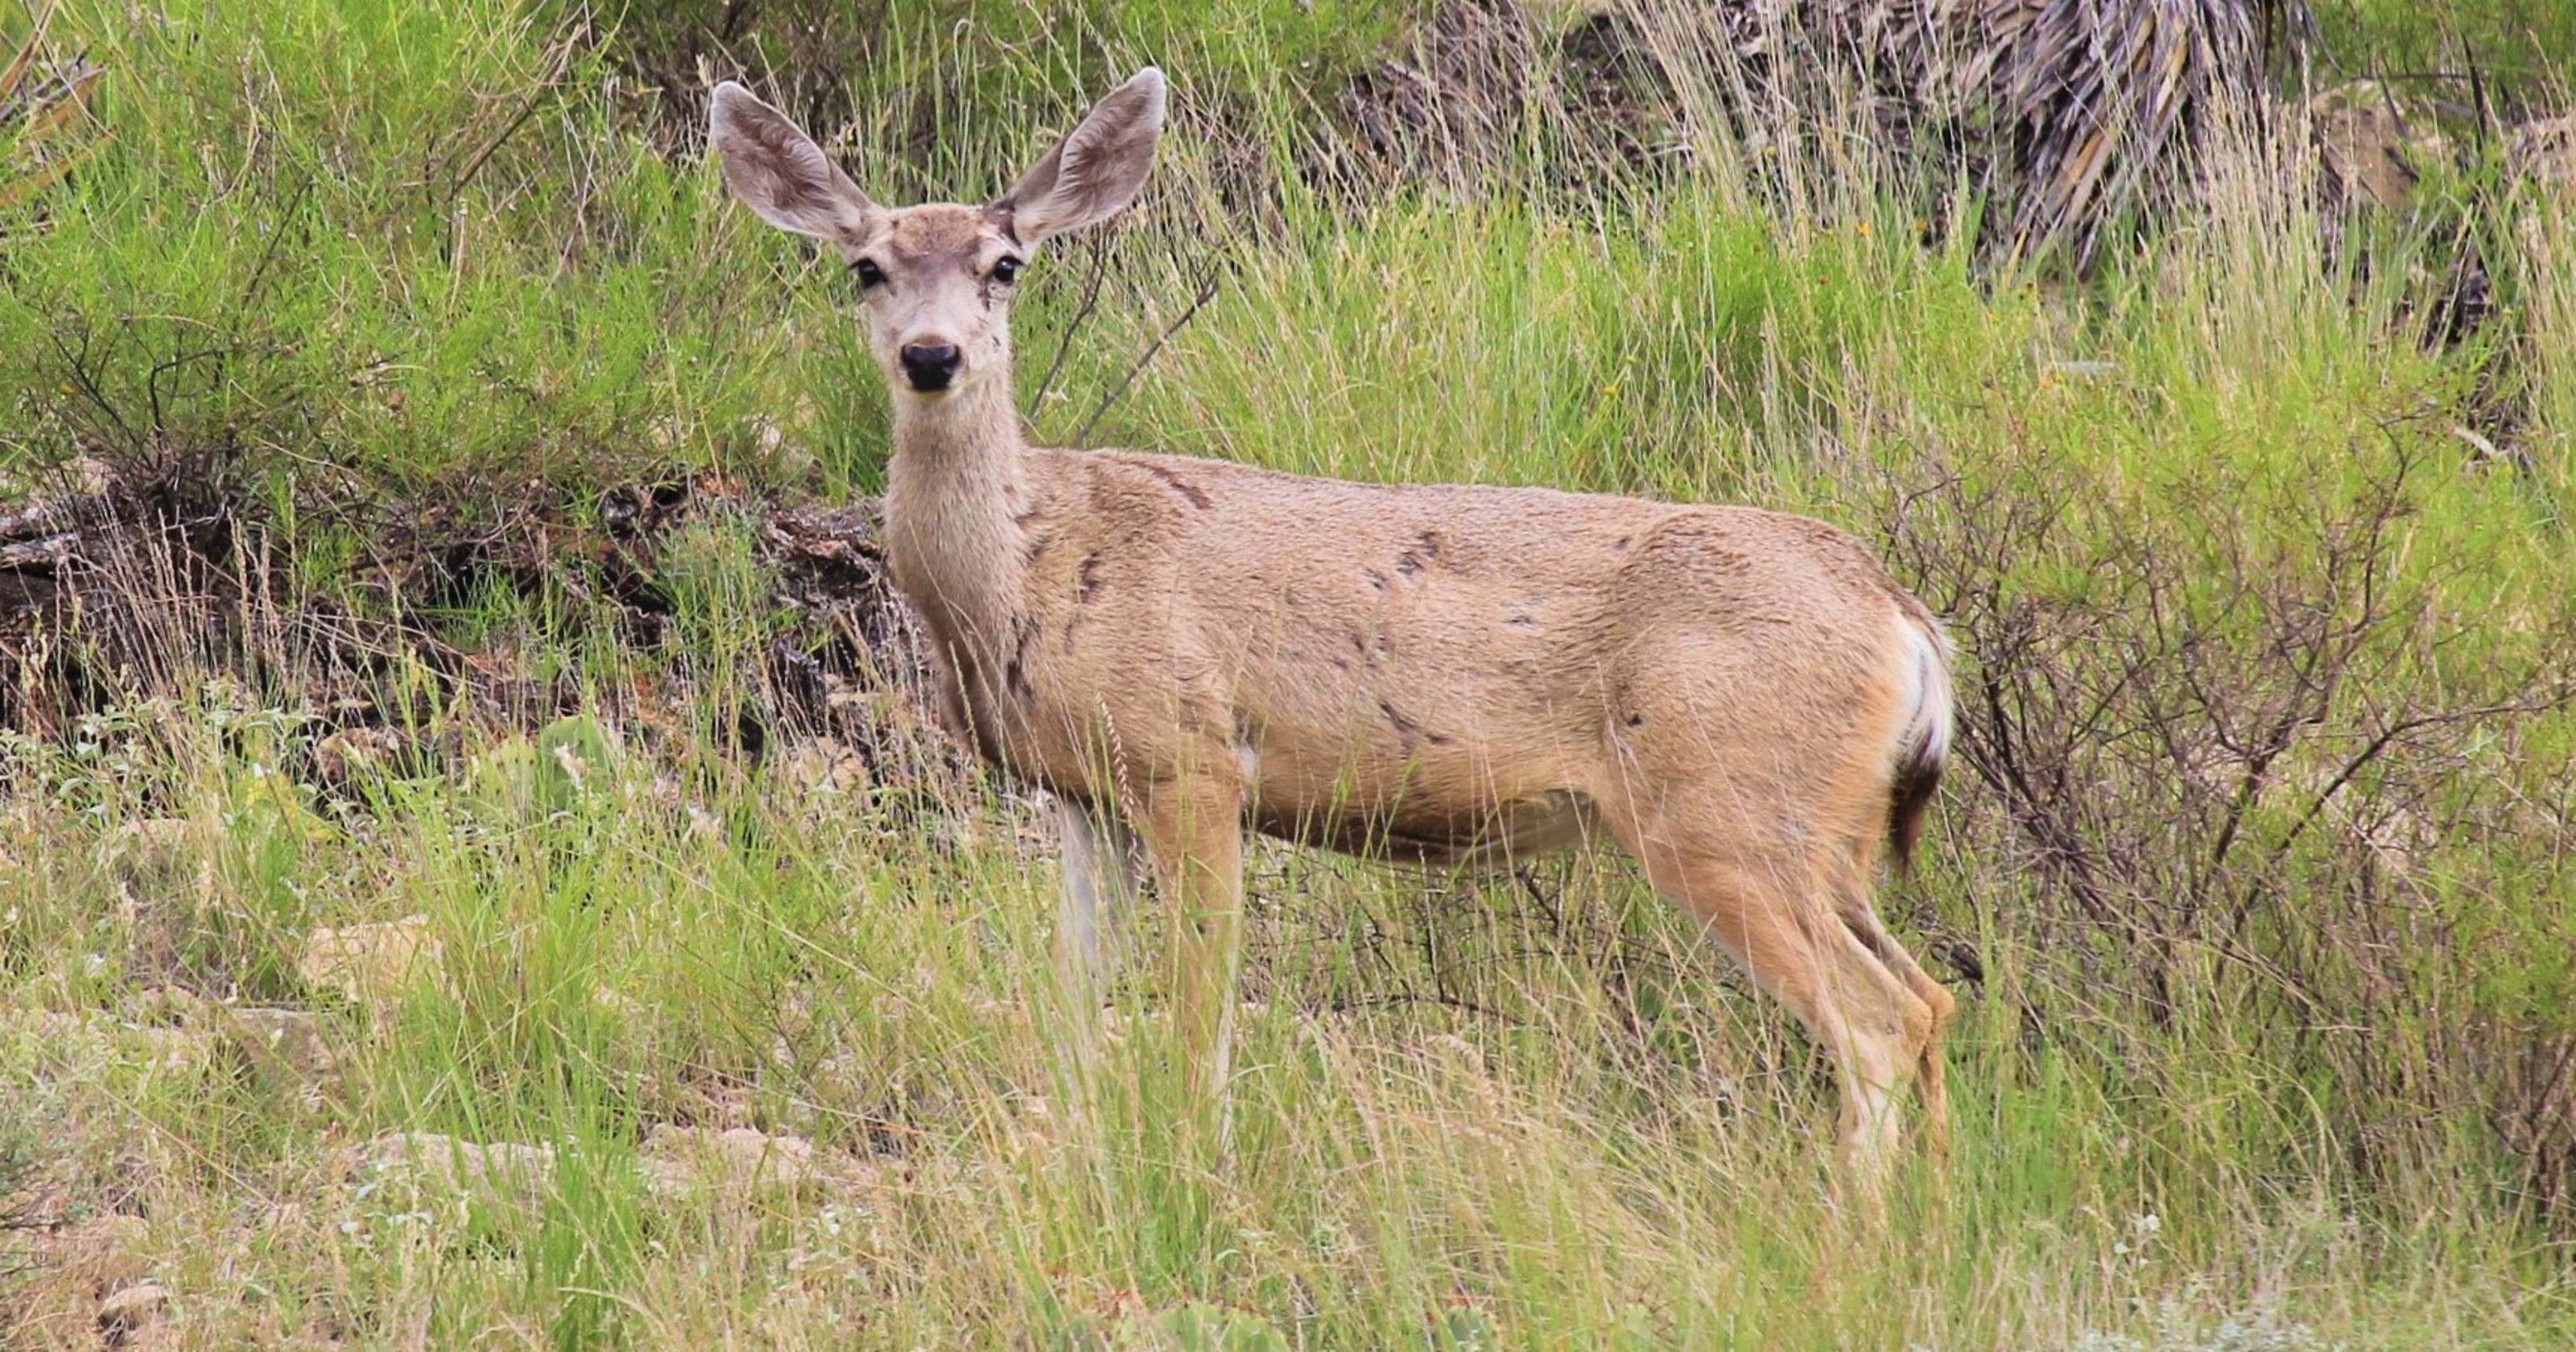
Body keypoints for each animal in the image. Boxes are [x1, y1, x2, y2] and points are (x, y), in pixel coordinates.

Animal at [708, 67, 1960, 1192]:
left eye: (1003, 266)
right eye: (866, 267)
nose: (932, 355)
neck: (1031, 565)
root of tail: (1902, 620)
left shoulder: (1192, 758)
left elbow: (1198, 1010)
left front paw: (1196, 1180)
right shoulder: (1081, 793)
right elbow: (1071, 1004)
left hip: (1720, 802)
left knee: (1879, 1022)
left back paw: (1851, 1247)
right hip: (1824, 835)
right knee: (1932, 999)